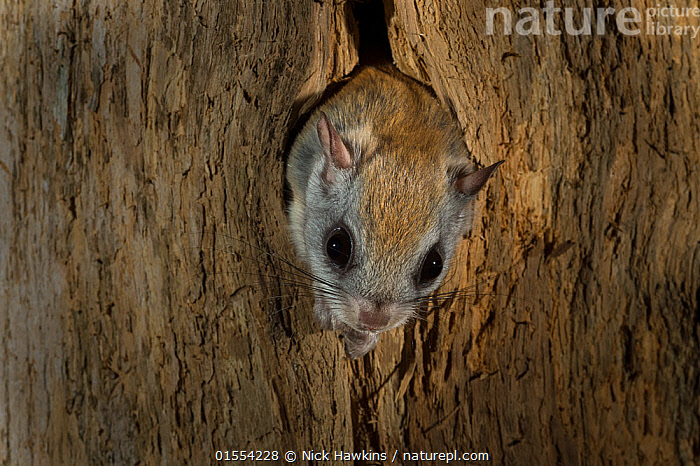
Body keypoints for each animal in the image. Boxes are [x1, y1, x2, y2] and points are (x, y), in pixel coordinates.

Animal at [286, 67, 502, 358]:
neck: (407, 140)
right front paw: (326, 309)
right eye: (336, 247)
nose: (373, 321)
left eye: (434, 266)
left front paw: (364, 340)